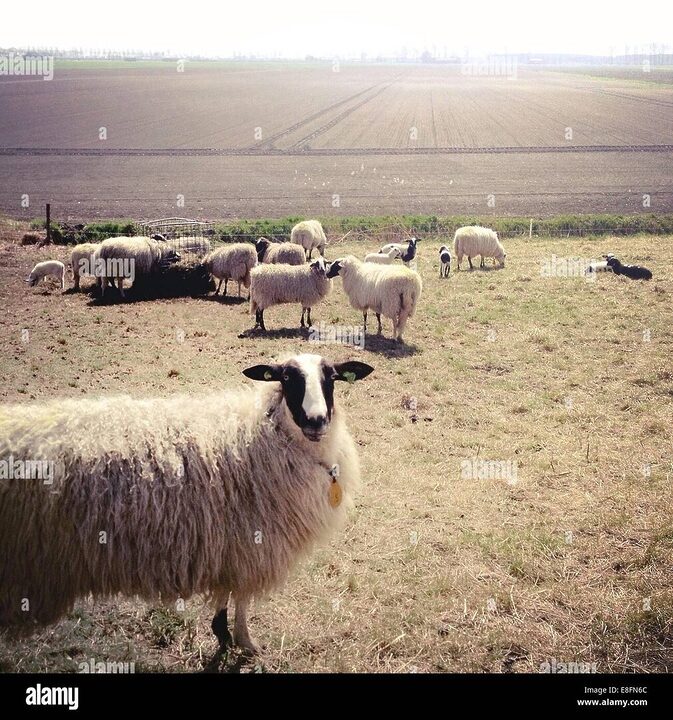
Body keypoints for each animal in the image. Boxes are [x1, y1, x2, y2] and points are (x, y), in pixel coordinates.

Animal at [0, 352, 372, 656]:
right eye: (287, 378)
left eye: (331, 378)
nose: (316, 420)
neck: (265, 433)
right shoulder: (250, 543)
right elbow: (241, 596)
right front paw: (244, 641)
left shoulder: (230, 545)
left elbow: (228, 592)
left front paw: (223, 634)